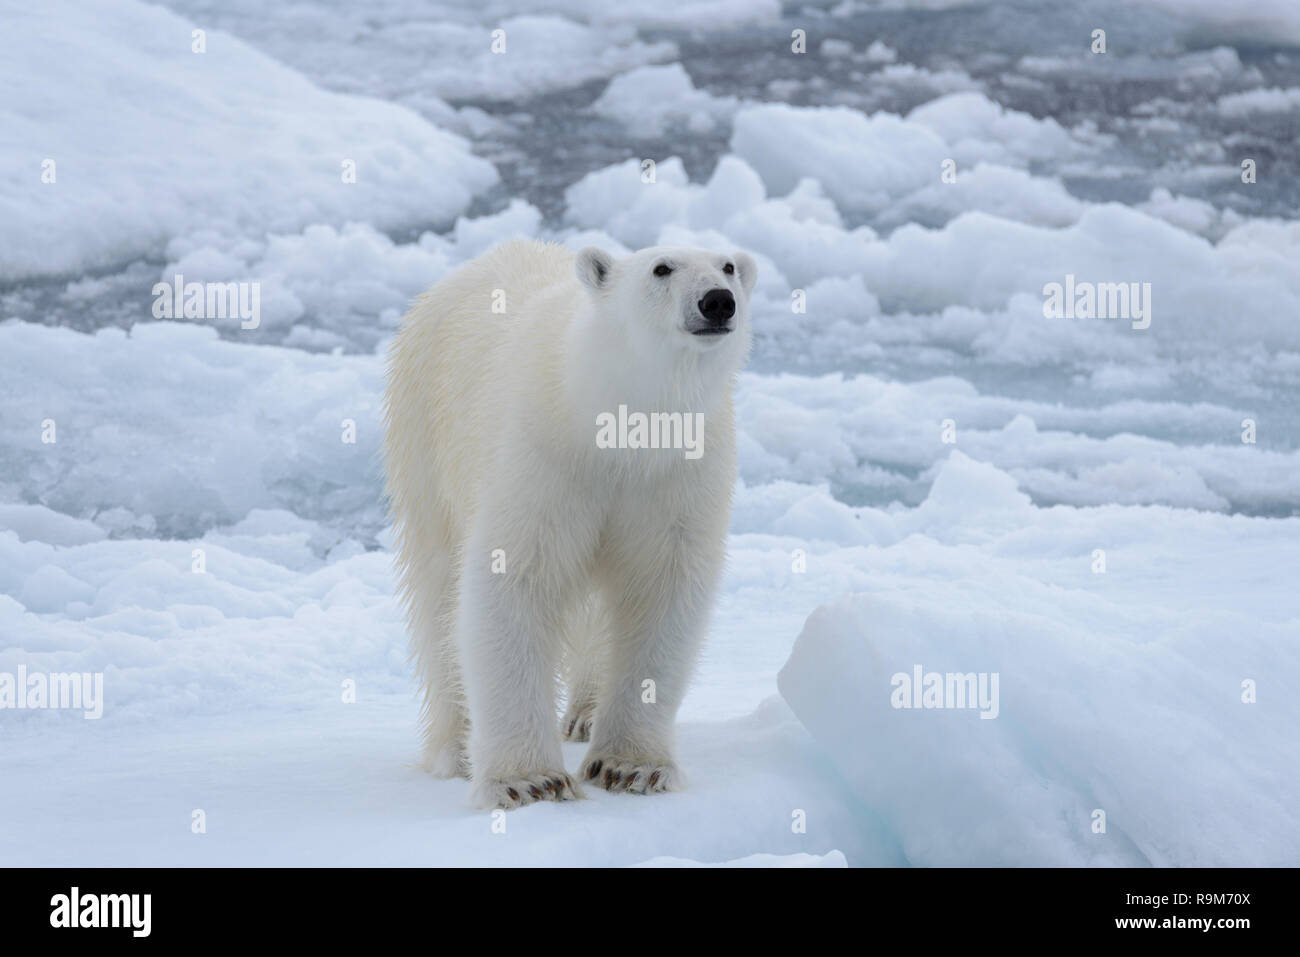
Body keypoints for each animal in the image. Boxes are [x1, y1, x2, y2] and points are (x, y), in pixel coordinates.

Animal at [382, 239, 756, 809]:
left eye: (729, 267)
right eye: (662, 268)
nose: (717, 301)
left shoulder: (677, 473)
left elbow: (661, 588)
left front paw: (631, 767)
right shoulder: (542, 457)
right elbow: (512, 581)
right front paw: (528, 780)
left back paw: (584, 712)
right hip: (424, 433)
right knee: (436, 589)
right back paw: (457, 747)